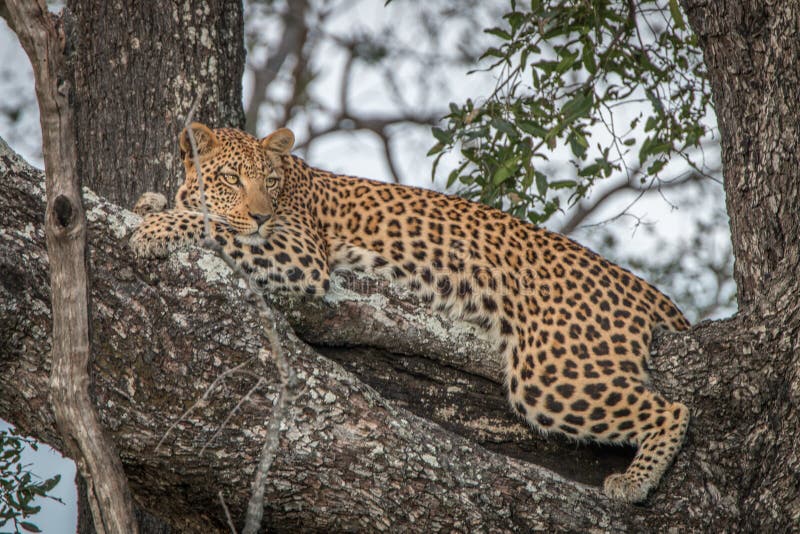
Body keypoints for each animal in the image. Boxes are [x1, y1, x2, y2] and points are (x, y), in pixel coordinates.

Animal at [130, 122, 691, 503]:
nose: (262, 214)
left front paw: (155, 228)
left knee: (674, 409)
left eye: (268, 180)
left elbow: (216, 227)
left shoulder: (299, 252)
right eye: (230, 178)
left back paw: (634, 482)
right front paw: (150, 203)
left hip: (553, 373)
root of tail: (643, 289)